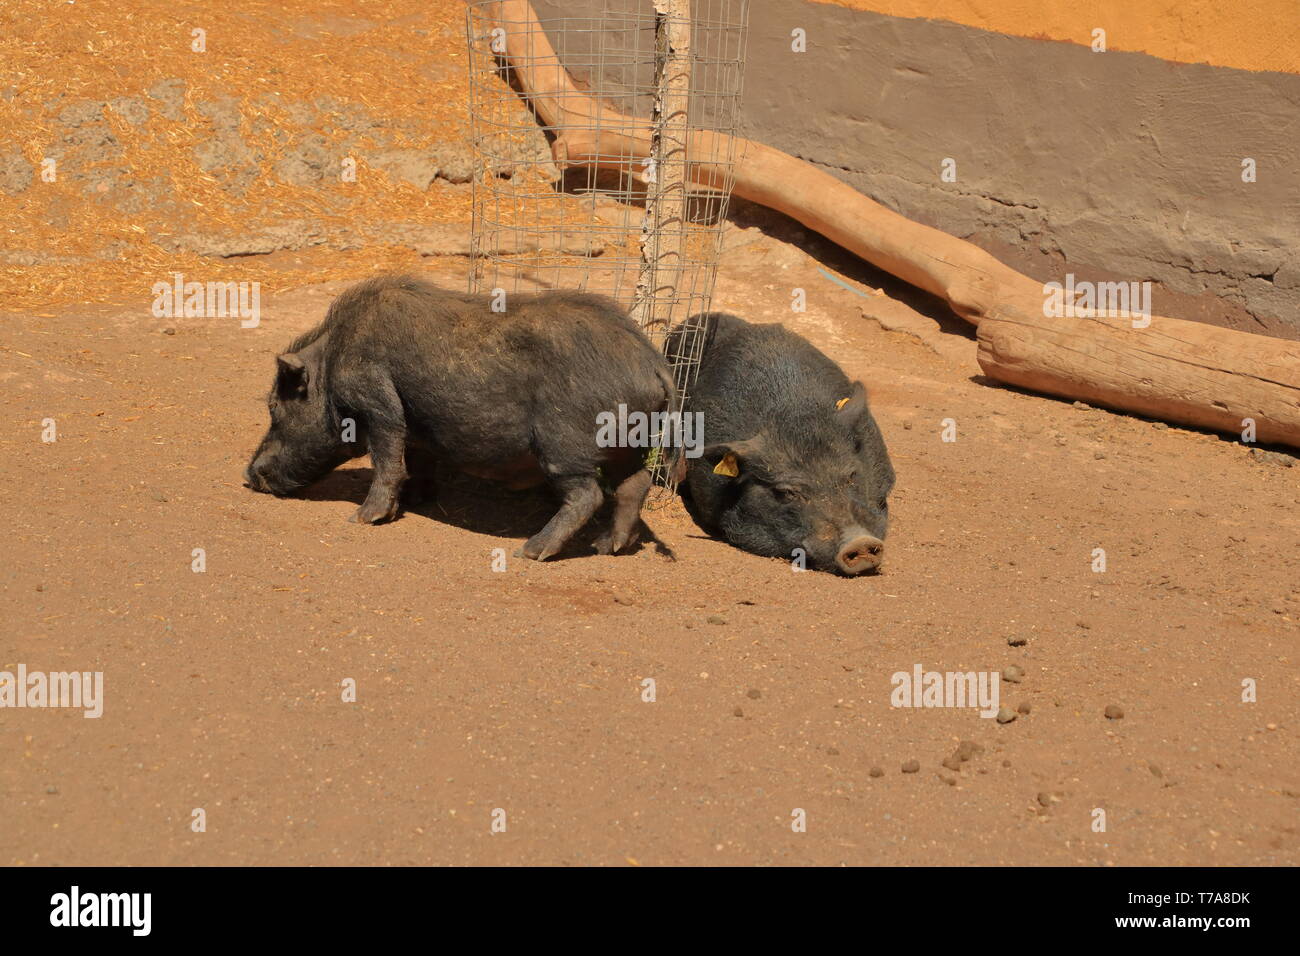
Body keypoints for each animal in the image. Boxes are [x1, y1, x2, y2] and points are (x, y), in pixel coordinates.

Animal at [245, 275, 676, 561]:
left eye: (276, 408)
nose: (248, 476)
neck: (333, 361)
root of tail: (652, 363)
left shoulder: (376, 401)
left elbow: (386, 458)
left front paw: (364, 519)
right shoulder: (417, 427)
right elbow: (414, 460)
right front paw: (415, 501)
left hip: (565, 443)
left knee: (588, 493)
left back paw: (529, 552)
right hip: (628, 443)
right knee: (635, 484)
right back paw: (610, 547)